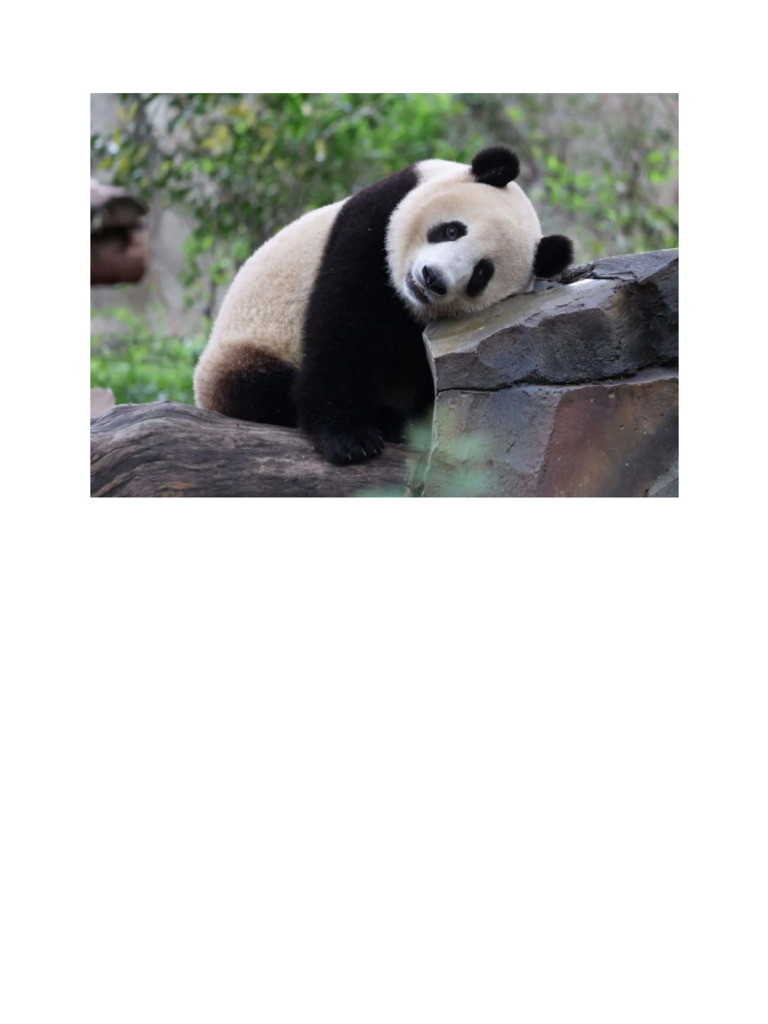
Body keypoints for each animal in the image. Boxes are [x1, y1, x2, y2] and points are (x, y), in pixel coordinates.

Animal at [194, 146, 573, 465]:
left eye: (482, 273)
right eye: (452, 231)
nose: (432, 278)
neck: (406, 300)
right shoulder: (373, 225)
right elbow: (347, 329)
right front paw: (350, 440)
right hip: (242, 351)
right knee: (260, 389)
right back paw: (393, 421)